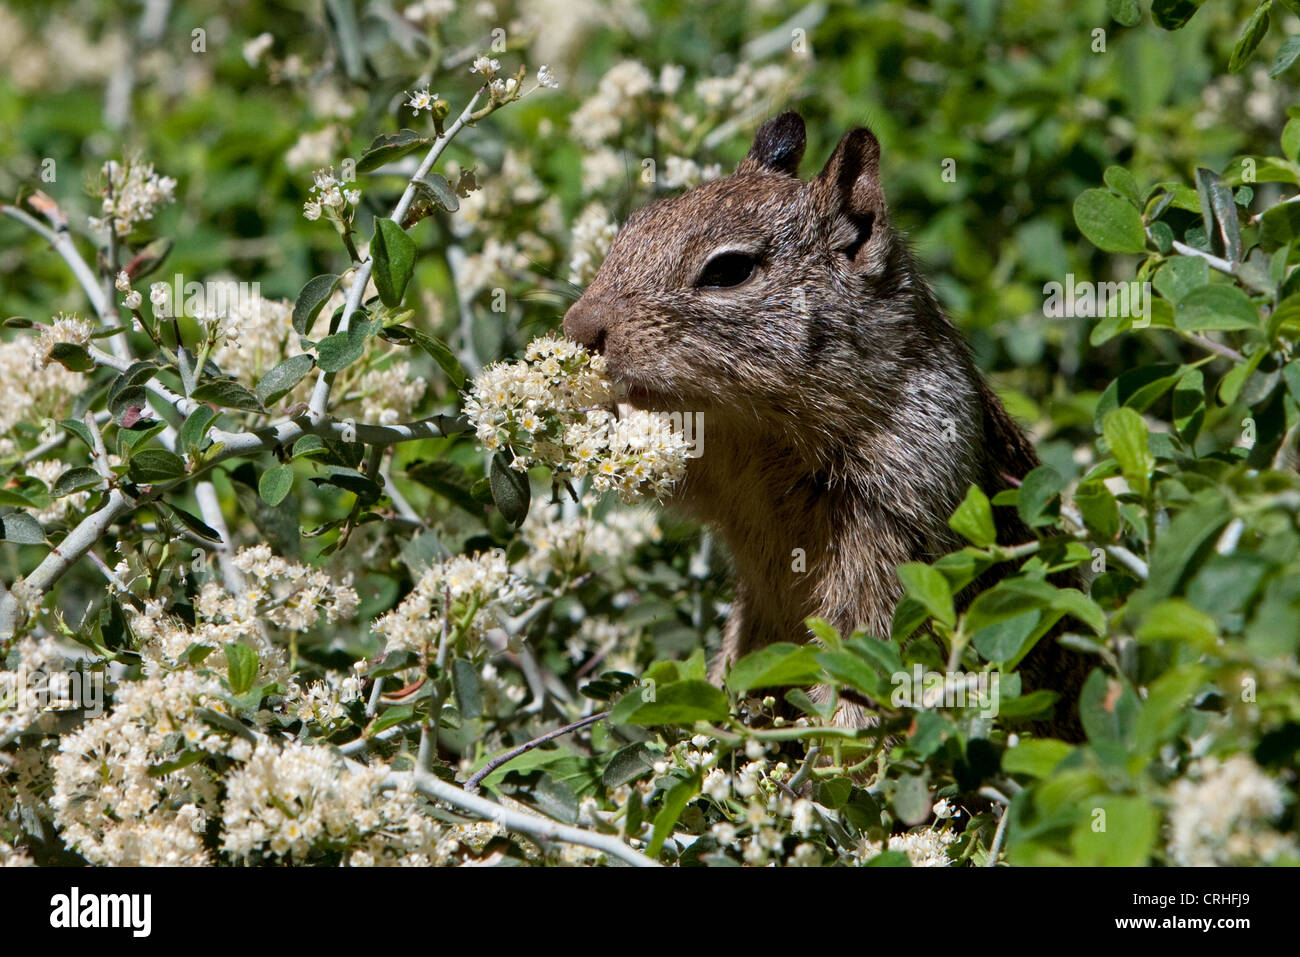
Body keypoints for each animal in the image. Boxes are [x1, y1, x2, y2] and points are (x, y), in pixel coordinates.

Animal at [563, 111, 1087, 741]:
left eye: (729, 270)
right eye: (632, 226)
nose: (577, 329)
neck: (759, 430)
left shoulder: (894, 541)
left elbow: (863, 665)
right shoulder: (715, 475)